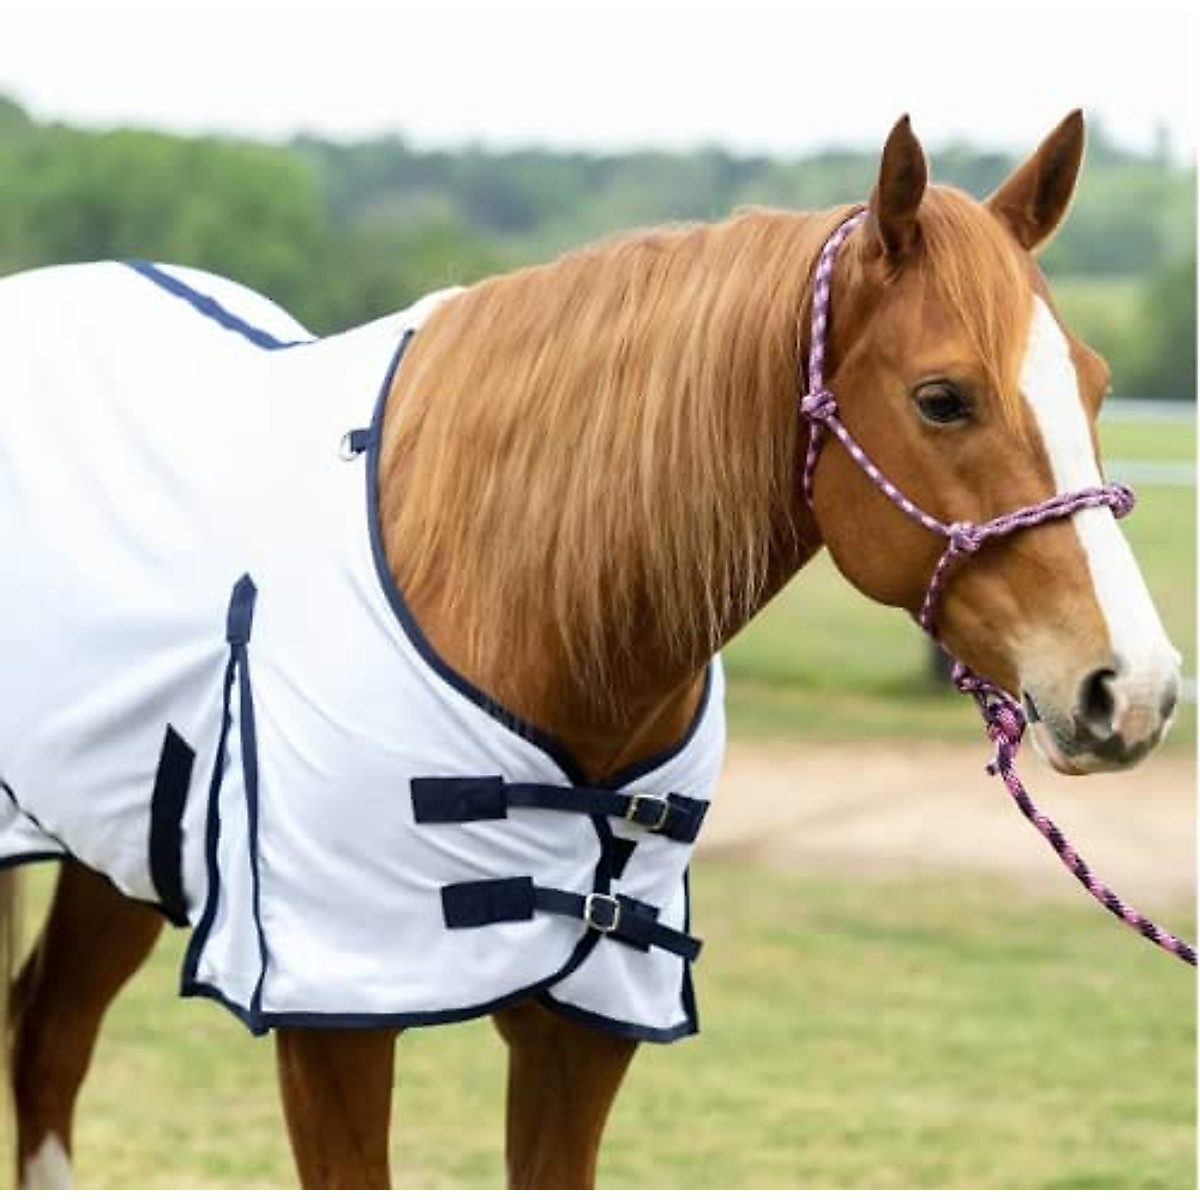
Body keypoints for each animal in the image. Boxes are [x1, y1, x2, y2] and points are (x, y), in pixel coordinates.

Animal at [0, 111, 1181, 1188]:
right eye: (942, 399)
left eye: (1094, 382)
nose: (1135, 689)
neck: (515, 597)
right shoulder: (337, 1012)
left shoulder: (586, 1024)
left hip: (119, 851)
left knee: (48, 1036)